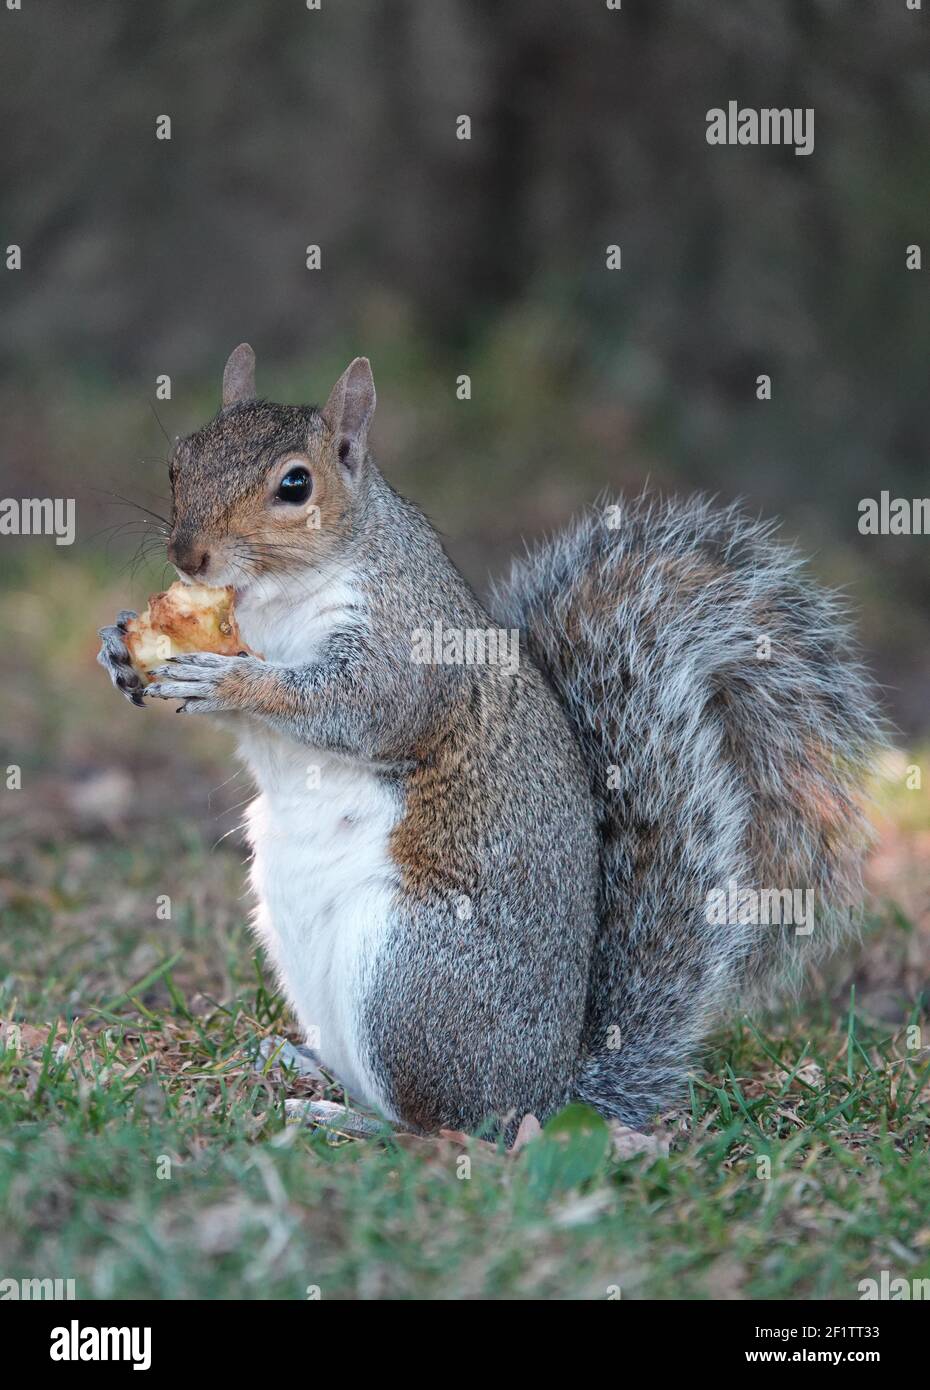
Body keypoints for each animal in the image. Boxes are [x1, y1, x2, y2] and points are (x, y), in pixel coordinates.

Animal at [98, 345, 885, 1137]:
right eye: (179, 459)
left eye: (295, 485)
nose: (188, 556)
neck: (276, 596)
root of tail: (544, 1094)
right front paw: (120, 649)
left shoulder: (407, 642)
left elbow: (367, 709)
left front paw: (228, 679)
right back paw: (299, 1062)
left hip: (408, 977)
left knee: (436, 1124)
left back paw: (342, 1117)